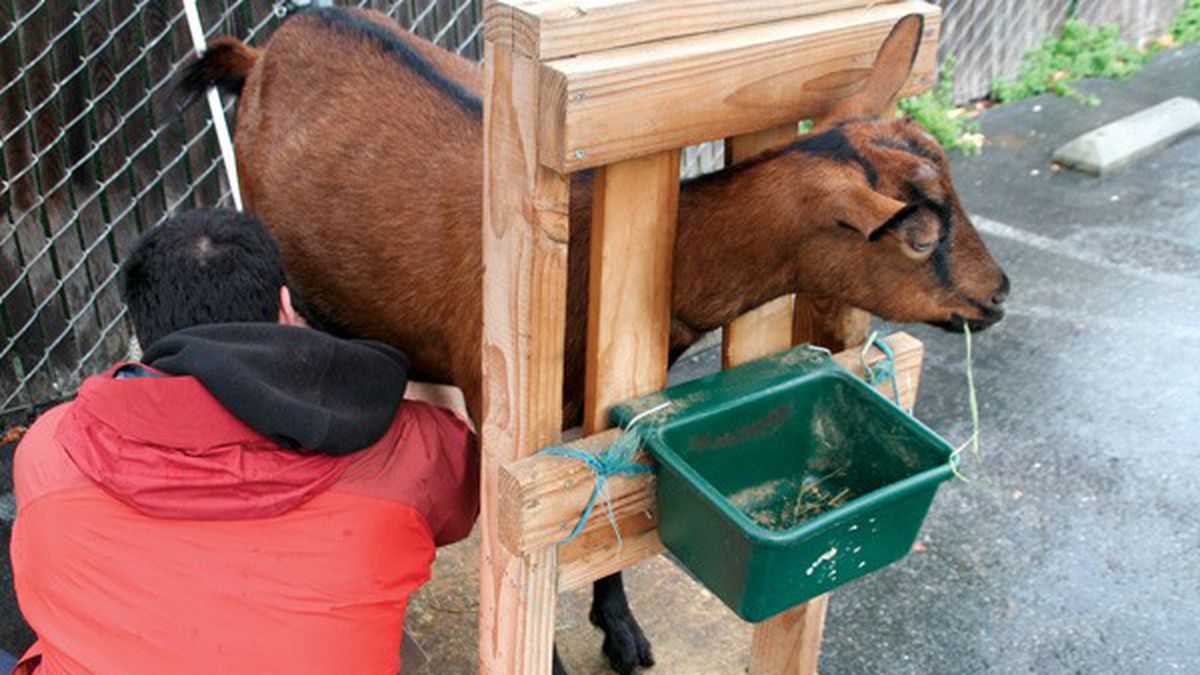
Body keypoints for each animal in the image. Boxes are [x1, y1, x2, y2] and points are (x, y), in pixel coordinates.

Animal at [179, 8, 1008, 674]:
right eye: (918, 233)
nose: (997, 294)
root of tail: (264, 50)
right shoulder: (500, 412)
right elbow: (529, 549)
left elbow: (619, 492)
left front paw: (623, 631)